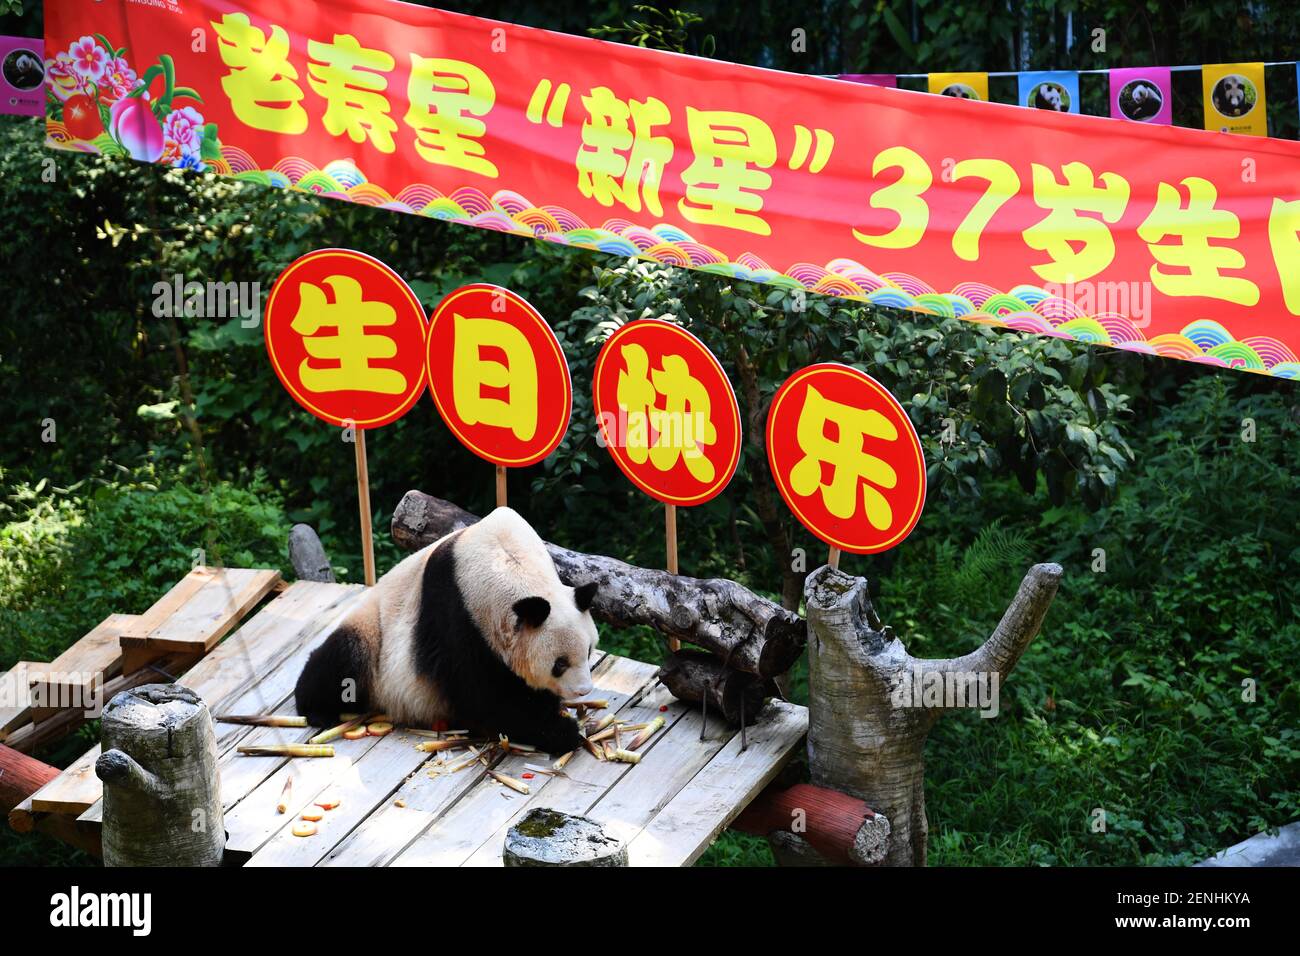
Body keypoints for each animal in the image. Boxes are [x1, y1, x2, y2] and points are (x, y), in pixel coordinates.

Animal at [294, 507, 598, 755]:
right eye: (559, 663)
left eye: (589, 651)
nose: (583, 690)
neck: (510, 563)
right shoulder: (458, 616)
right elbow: (483, 696)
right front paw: (561, 732)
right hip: (373, 634)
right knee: (343, 662)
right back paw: (317, 709)